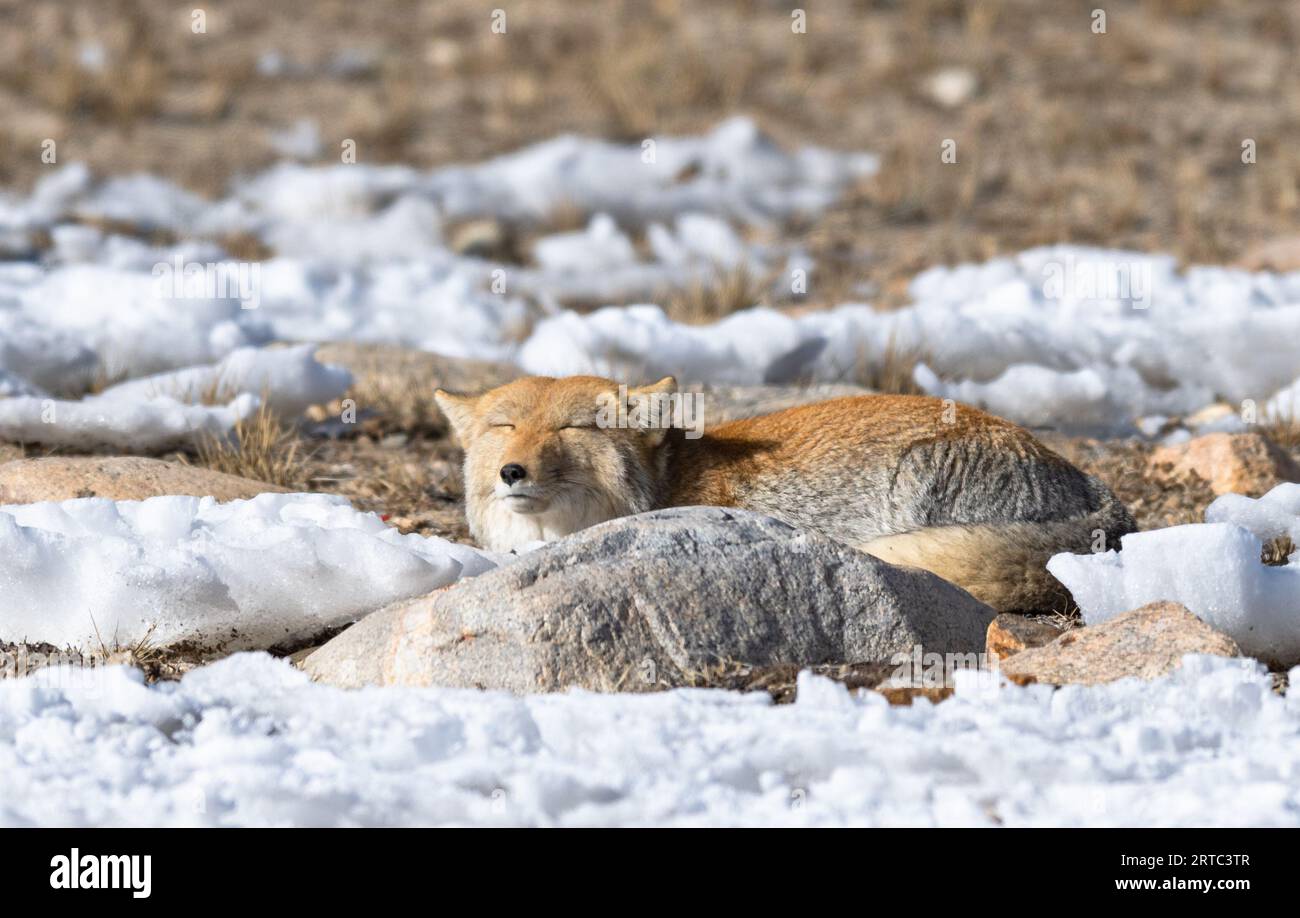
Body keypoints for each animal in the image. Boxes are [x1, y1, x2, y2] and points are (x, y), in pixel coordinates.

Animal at [434, 375, 1136, 612]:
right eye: (504, 428)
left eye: (572, 428)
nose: (512, 472)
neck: (667, 485)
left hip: (915, 480)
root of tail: (1099, 491)